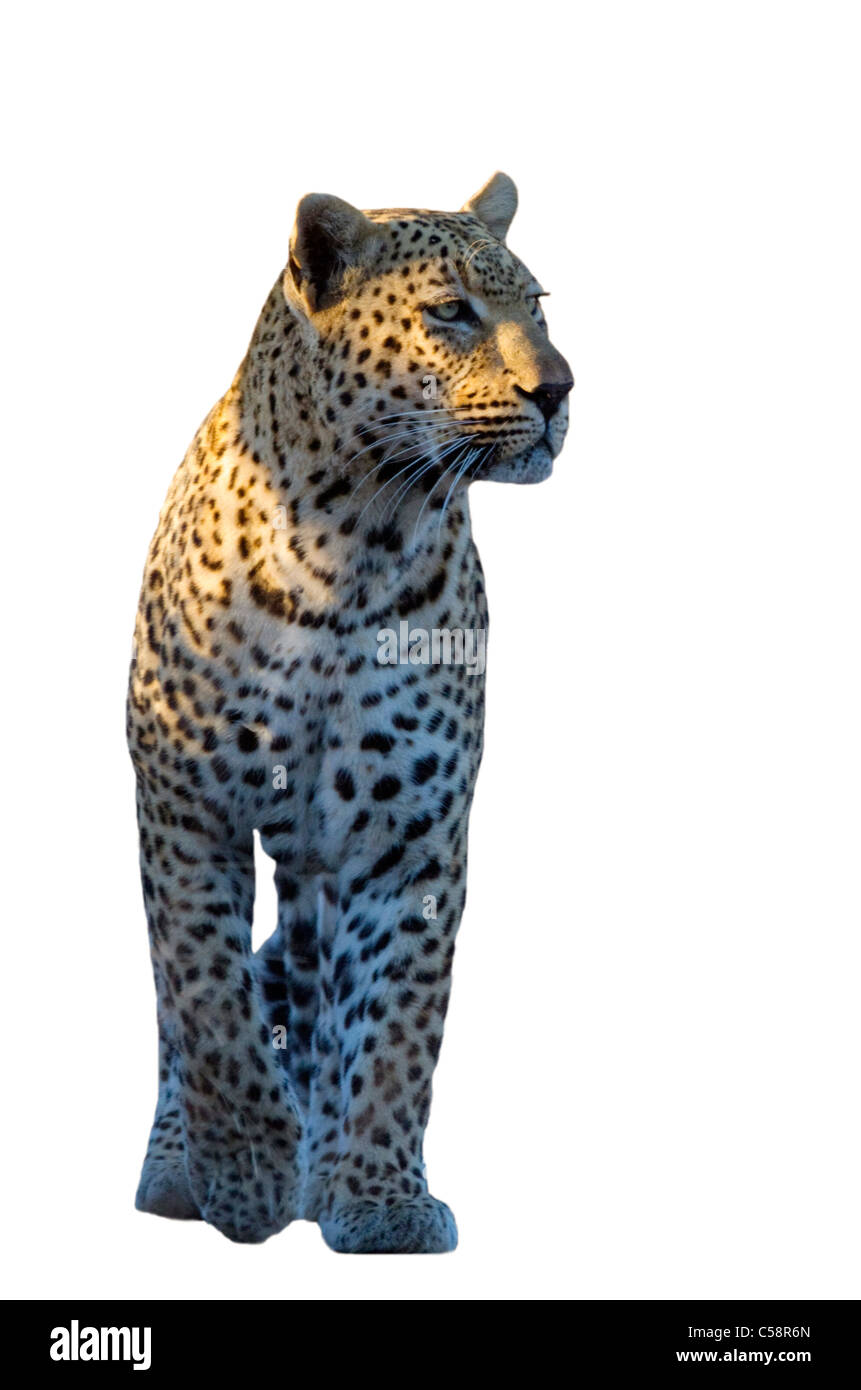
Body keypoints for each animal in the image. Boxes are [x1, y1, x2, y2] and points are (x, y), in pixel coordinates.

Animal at [127, 172, 573, 1251]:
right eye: (451, 312)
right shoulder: (184, 799)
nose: (560, 390)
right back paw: (182, 1170)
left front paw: (379, 1199)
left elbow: (398, 1021)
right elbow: (205, 993)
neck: (356, 537)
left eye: (537, 307)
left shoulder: (410, 831)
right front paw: (247, 1173)